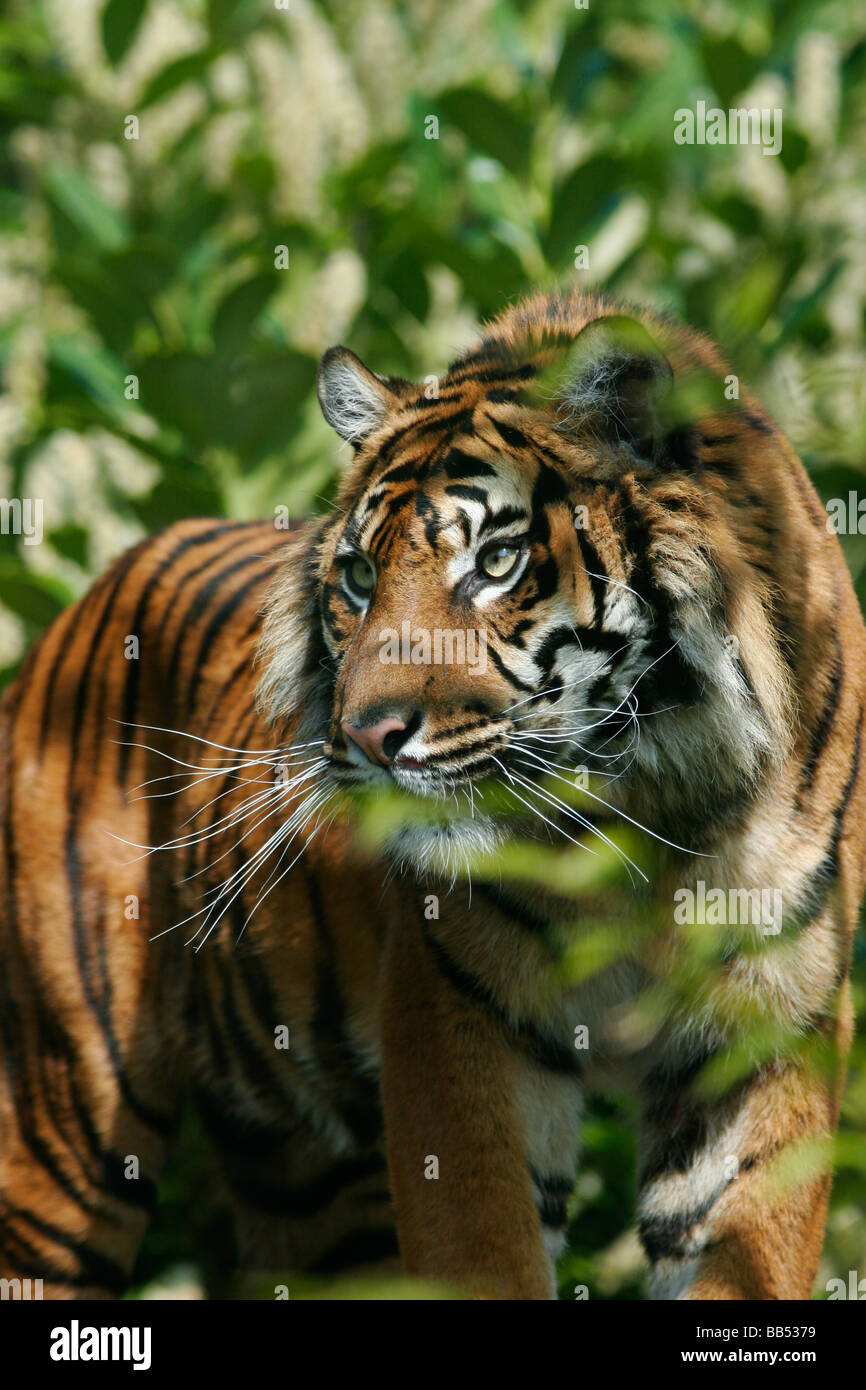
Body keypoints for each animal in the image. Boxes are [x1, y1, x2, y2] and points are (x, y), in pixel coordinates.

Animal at [1, 288, 864, 1301]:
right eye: (359, 576)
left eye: (494, 564)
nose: (366, 736)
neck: (643, 816)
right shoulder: (457, 1015)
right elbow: (485, 1250)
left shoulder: (771, 1032)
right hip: (61, 1111)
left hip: (321, 1197)